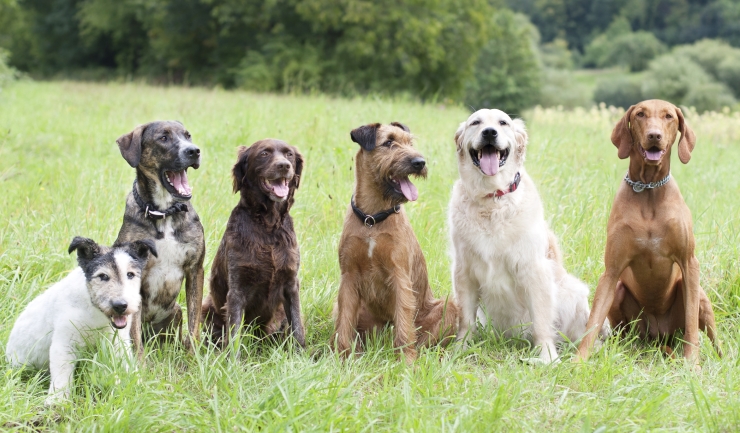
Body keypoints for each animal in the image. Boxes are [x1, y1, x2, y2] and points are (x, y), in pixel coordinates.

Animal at [4, 236, 156, 402]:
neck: (93, 310)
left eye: (130, 274)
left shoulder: (118, 343)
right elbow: (62, 376)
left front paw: (136, 386)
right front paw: (57, 401)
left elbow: (127, 366)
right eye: (103, 276)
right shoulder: (64, 343)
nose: (121, 305)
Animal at [115, 120, 205, 356]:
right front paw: (139, 363)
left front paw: (194, 358)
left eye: (188, 136)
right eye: (163, 138)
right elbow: (134, 335)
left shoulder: (195, 269)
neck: (164, 213)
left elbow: (195, 322)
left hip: (175, 312)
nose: (194, 151)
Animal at [201, 140, 304, 350]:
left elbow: (297, 328)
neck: (268, 227)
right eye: (264, 153)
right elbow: (233, 336)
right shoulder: (237, 289)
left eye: (289, 154)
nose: (284, 166)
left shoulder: (291, 284)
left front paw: (301, 355)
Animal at [334, 120, 456, 362]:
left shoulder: (399, 274)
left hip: (450, 307)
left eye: (410, 142)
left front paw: (406, 361)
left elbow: (404, 324)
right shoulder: (348, 277)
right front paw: (342, 358)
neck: (372, 219)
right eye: (389, 142)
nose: (419, 163)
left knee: (423, 340)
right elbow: (344, 323)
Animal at [580, 99, 716, 362]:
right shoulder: (611, 271)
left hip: (698, 296)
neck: (649, 187)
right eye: (640, 114)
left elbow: (692, 326)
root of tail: (659, 337)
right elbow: (593, 322)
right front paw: (578, 361)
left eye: (669, 116)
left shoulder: (689, 263)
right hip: (622, 296)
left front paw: (692, 363)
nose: (654, 135)